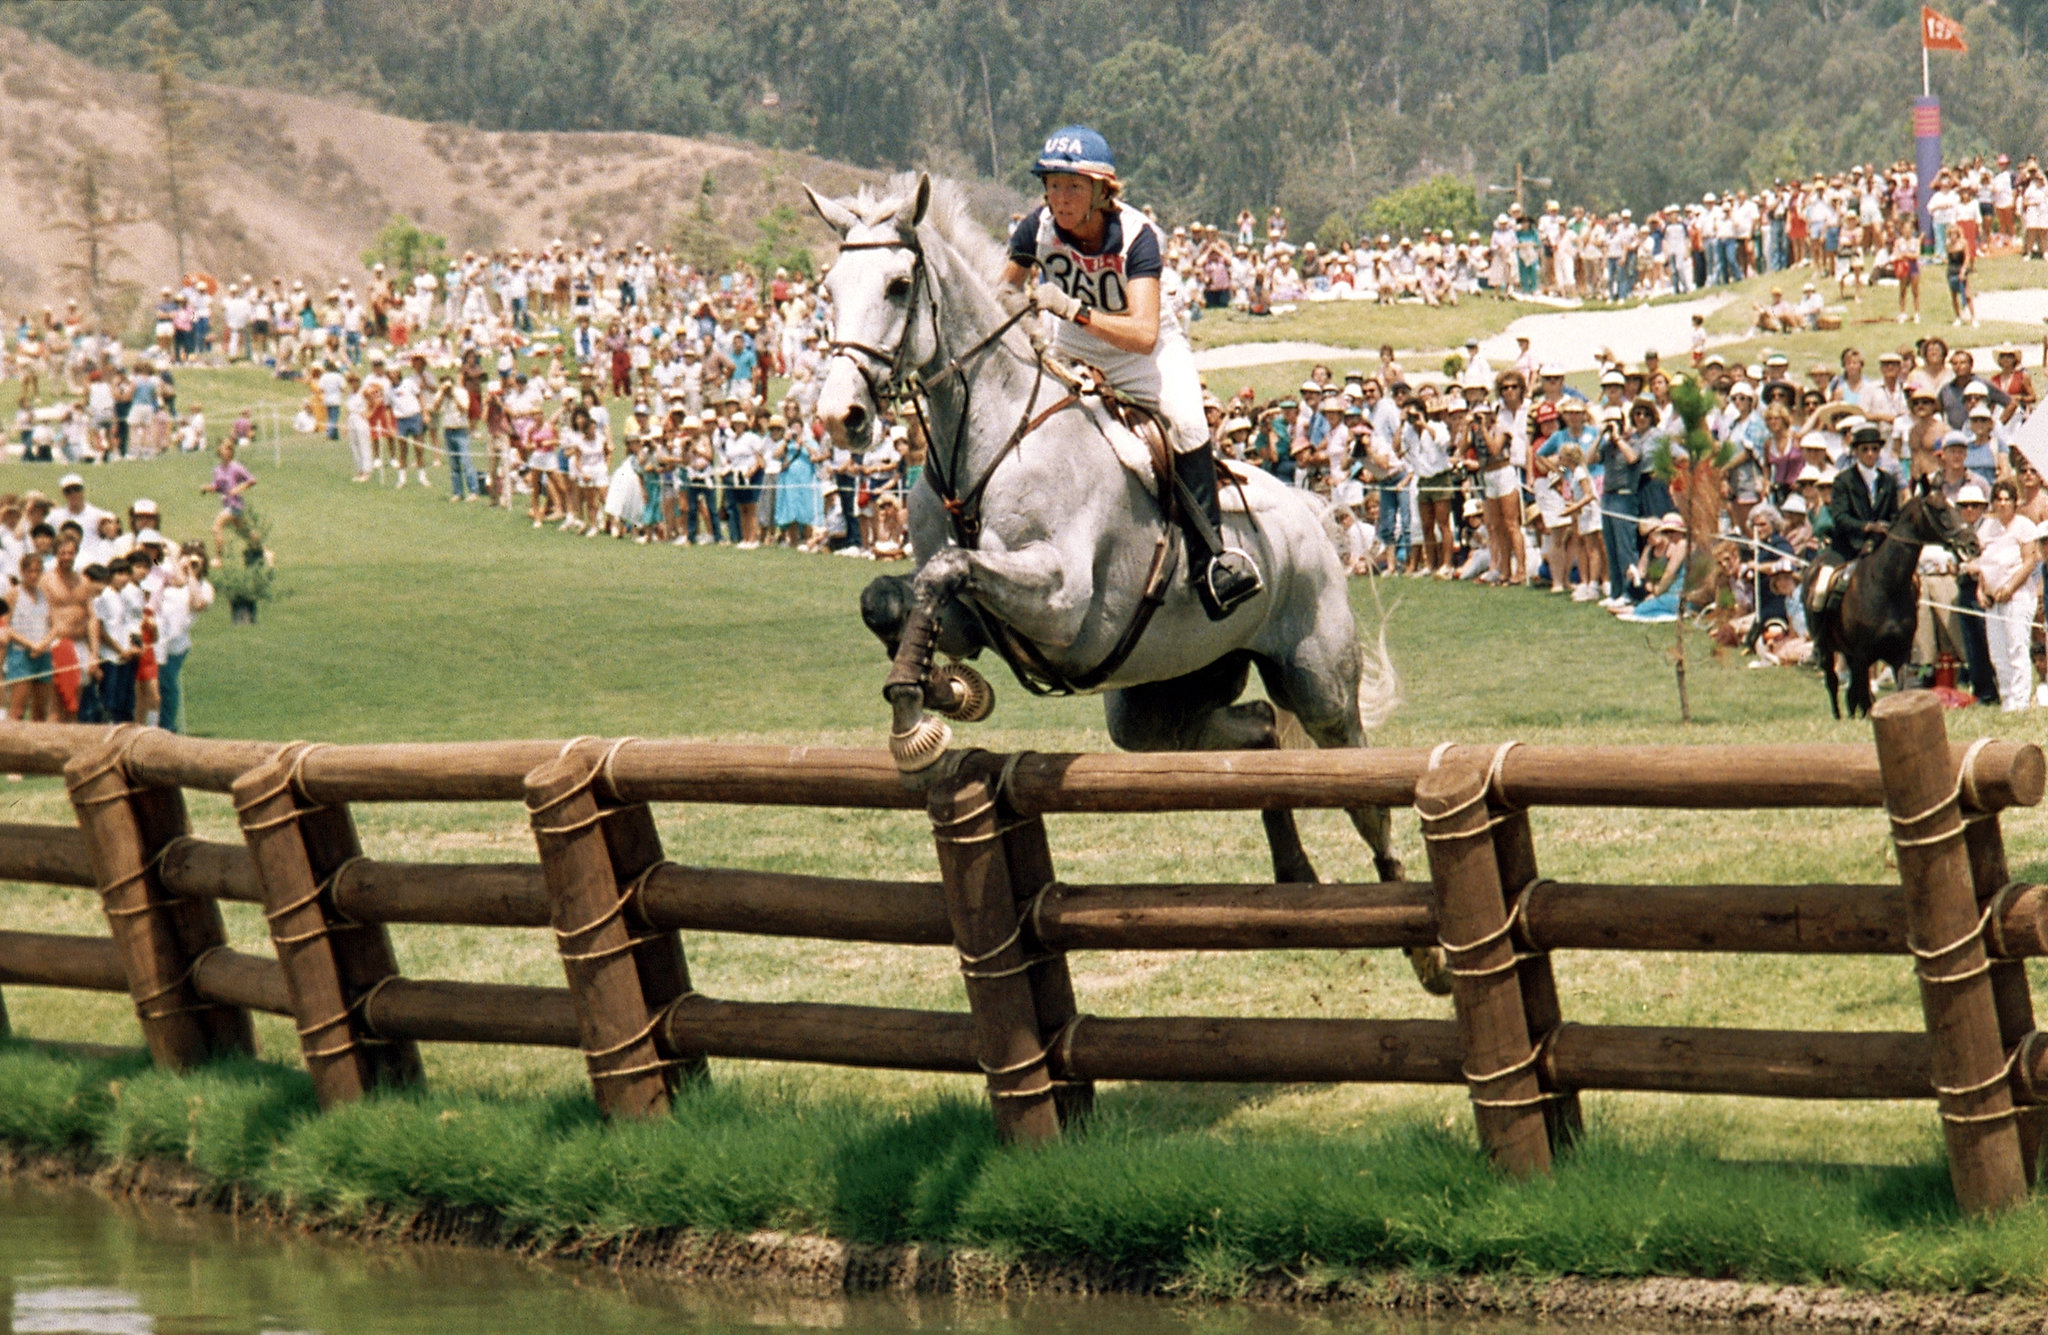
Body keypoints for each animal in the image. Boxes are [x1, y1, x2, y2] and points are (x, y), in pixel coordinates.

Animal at [804, 173, 1442, 991]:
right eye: (828, 289)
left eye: (897, 284)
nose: (840, 417)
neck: (986, 436)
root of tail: (1310, 512)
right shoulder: (989, 619)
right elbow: (896, 595)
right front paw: (945, 687)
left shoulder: (1061, 604)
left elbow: (947, 574)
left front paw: (917, 712)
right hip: (1156, 706)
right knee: (1258, 736)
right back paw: (1295, 870)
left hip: (1320, 687)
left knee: (1364, 792)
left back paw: (1426, 947)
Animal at [1801, 489, 1980, 719]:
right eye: (1940, 509)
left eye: (1956, 507)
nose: (1972, 544)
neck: (1885, 585)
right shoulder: (1862, 656)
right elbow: (1866, 699)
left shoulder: (1900, 654)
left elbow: (1899, 691)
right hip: (1826, 649)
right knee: (1832, 681)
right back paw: (1839, 715)